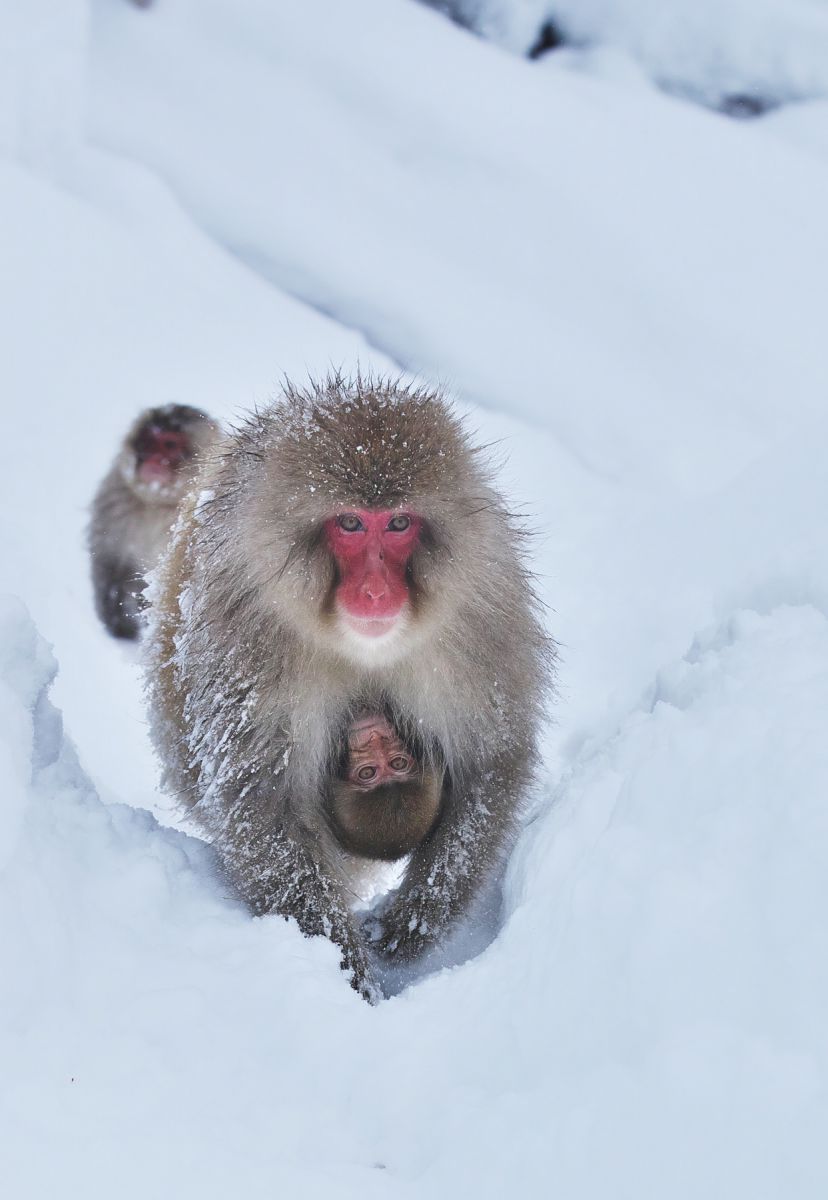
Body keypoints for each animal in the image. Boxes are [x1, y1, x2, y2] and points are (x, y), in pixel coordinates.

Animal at [89, 404, 221, 640]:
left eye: (169, 444)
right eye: (148, 441)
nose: (152, 459)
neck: (161, 505)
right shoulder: (114, 501)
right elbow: (111, 563)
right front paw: (120, 625)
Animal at [146, 374, 552, 1000]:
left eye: (400, 524)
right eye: (352, 524)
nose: (377, 590)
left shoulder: (476, 620)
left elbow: (490, 761)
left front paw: (411, 925)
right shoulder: (248, 643)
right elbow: (261, 803)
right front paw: (346, 973)